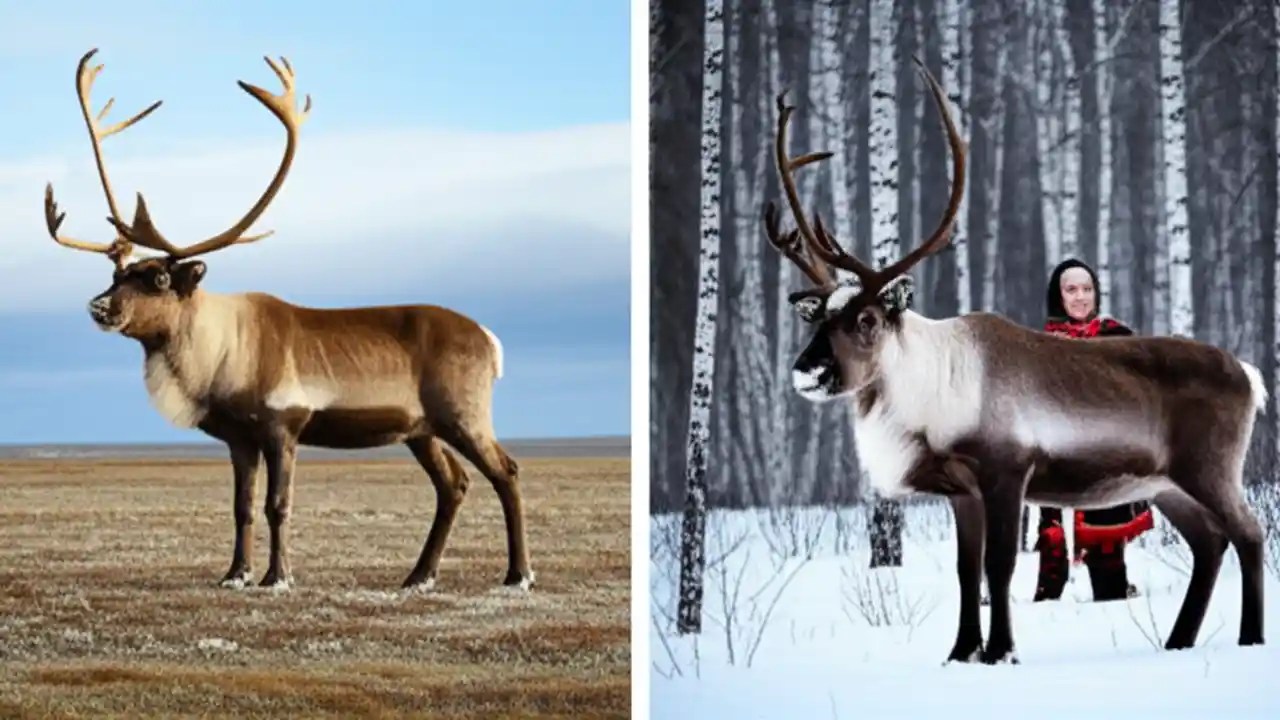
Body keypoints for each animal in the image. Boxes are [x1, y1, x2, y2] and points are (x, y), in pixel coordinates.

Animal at [40, 48, 534, 593]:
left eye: (160, 279)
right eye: (118, 273)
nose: (99, 306)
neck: (218, 354)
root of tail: (489, 339)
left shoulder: (284, 426)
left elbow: (277, 505)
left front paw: (278, 577)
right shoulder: (239, 438)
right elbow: (241, 508)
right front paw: (235, 573)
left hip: (463, 414)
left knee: (506, 471)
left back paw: (518, 574)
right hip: (420, 429)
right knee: (454, 484)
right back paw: (418, 576)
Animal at [763, 56, 1266, 664]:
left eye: (866, 320)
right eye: (817, 318)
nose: (806, 371)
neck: (927, 399)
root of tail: (1250, 375)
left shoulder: (1007, 470)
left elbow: (998, 567)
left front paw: (1001, 650)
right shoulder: (960, 491)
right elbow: (966, 572)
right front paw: (960, 653)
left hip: (1210, 466)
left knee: (1249, 534)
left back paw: (1250, 638)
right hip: (1167, 484)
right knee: (1210, 542)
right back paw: (1178, 641)